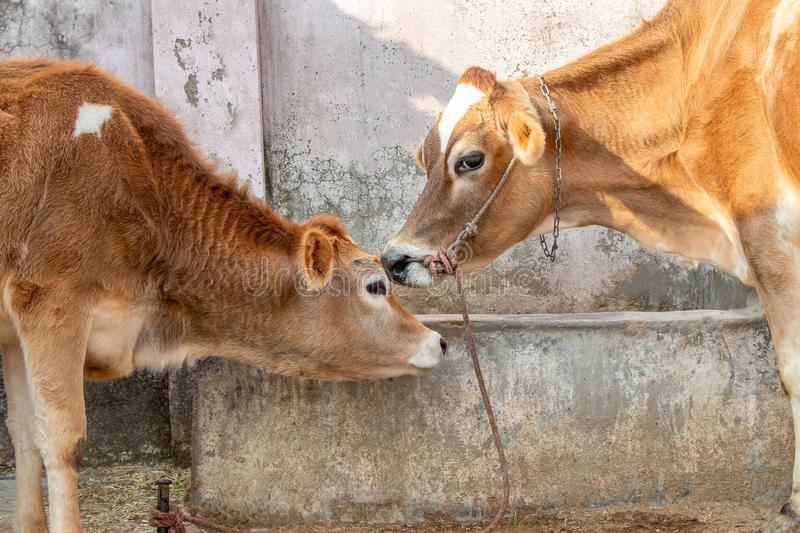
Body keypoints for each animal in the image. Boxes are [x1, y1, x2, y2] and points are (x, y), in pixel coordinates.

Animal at [0, 57, 446, 533]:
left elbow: (23, 431)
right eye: (376, 285)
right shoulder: (51, 299)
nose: (439, 341)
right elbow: (62, 438)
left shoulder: (15, 329)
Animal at [381, 0, 800, 529]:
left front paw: (794, 504)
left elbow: (792, 370)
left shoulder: (772, 240)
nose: (393, 259)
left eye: (470, 160)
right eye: (426, 156)